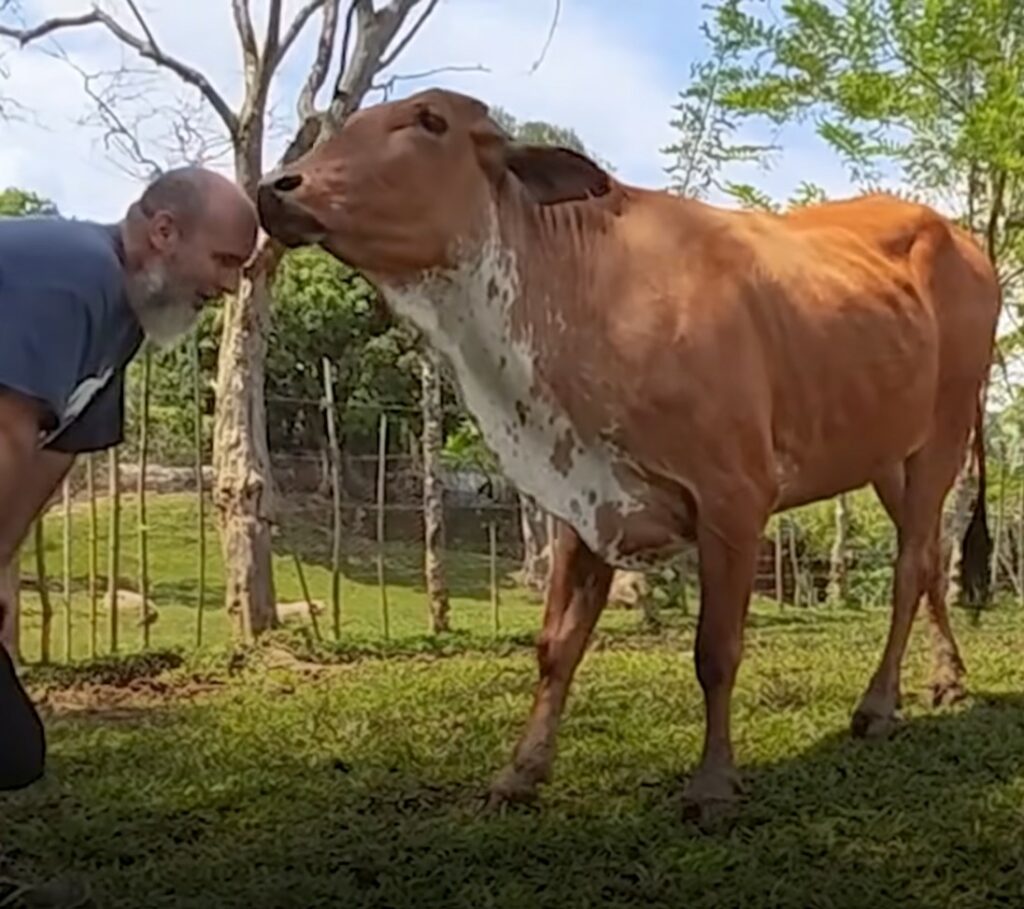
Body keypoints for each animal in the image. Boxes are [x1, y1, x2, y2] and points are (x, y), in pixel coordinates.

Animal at [256, 88, 1000, 820]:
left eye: (430, 121)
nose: (276, 187)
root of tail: (962, 238)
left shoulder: (735, 496)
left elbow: (716, 648)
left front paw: (712, 783)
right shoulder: (581, 500)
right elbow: (556, 646)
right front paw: (521, 770)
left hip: (943, 431)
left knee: (909, 568)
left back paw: (878, 704)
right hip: (886, 455)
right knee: (930, 558)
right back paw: (947, 677)